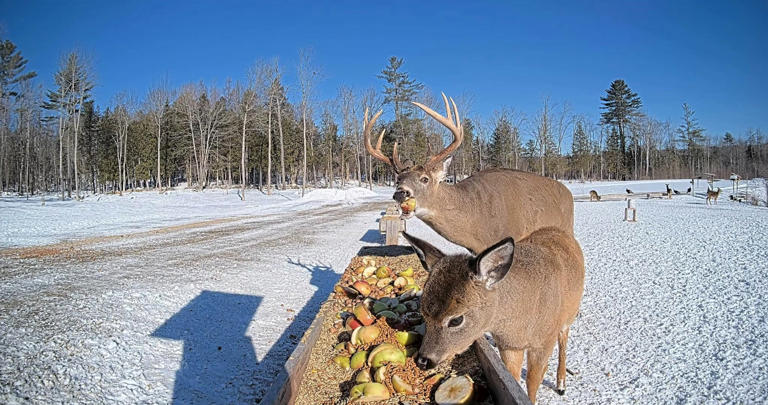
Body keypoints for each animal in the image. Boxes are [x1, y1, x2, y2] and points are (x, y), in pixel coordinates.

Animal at [402, 228, 585, 404]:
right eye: (423, 313)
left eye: (456, 320)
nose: (422, 360)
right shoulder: (509, 346)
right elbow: (514, 379)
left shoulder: (544, 341)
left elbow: (532, 381)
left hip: (569, 314)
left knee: (564, 339)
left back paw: (561, 385)